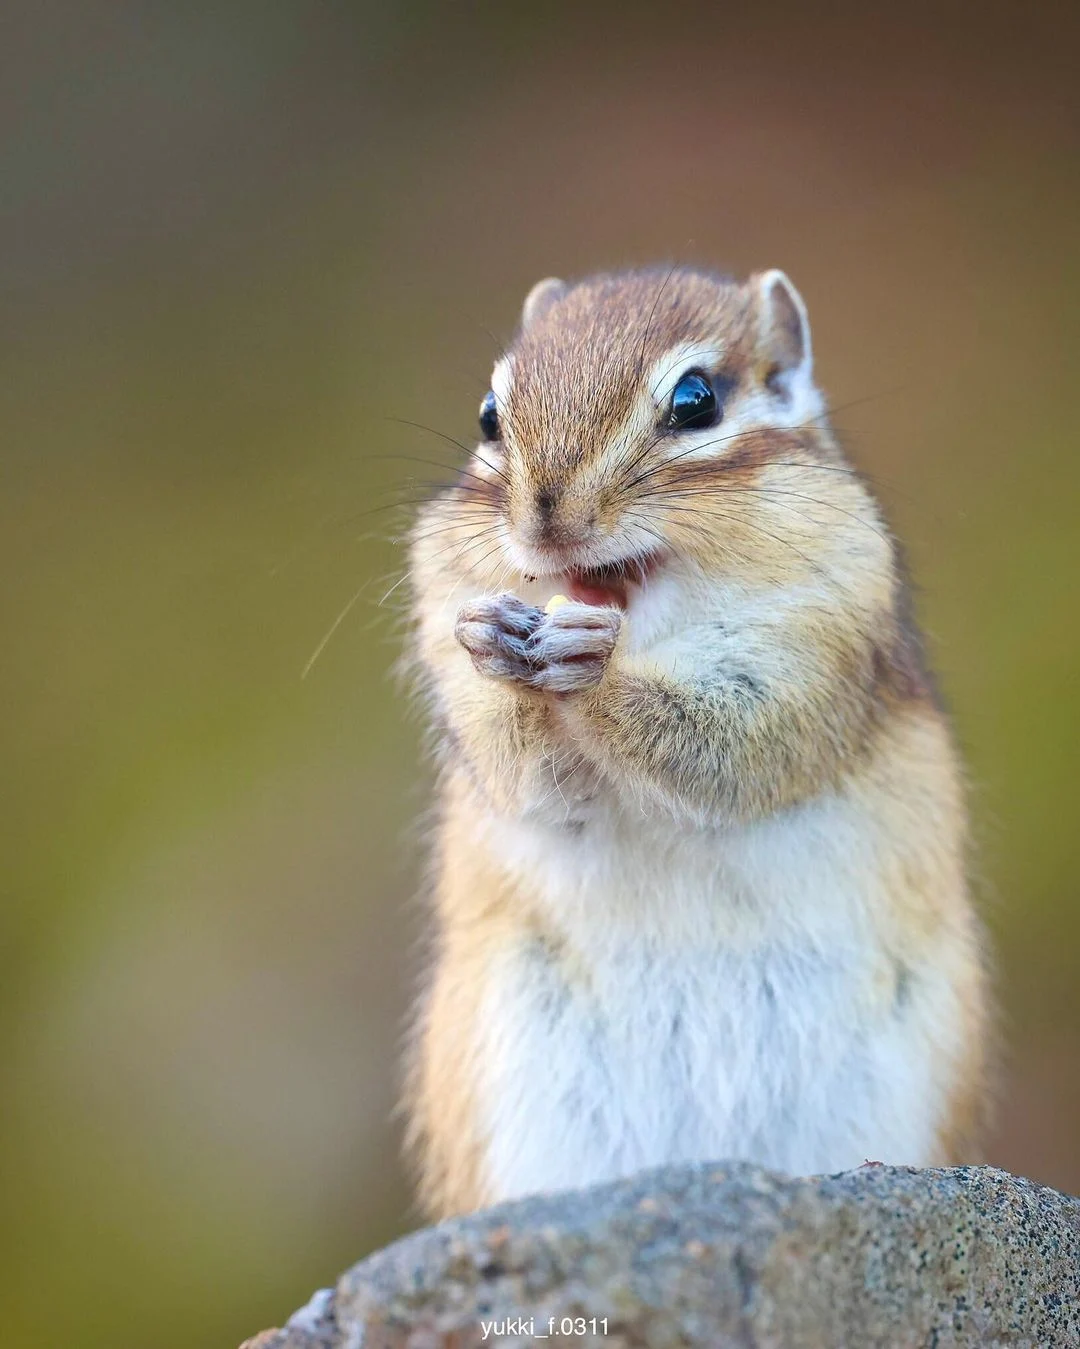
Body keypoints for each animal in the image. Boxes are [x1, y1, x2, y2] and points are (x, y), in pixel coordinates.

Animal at [402, 266, 990, 1220]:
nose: (545, 520)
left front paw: (594, 674)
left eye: (695, 400)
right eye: (490, 415)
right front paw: (495, 645)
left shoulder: (808, 661)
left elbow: (723, 747)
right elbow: (530, 777)